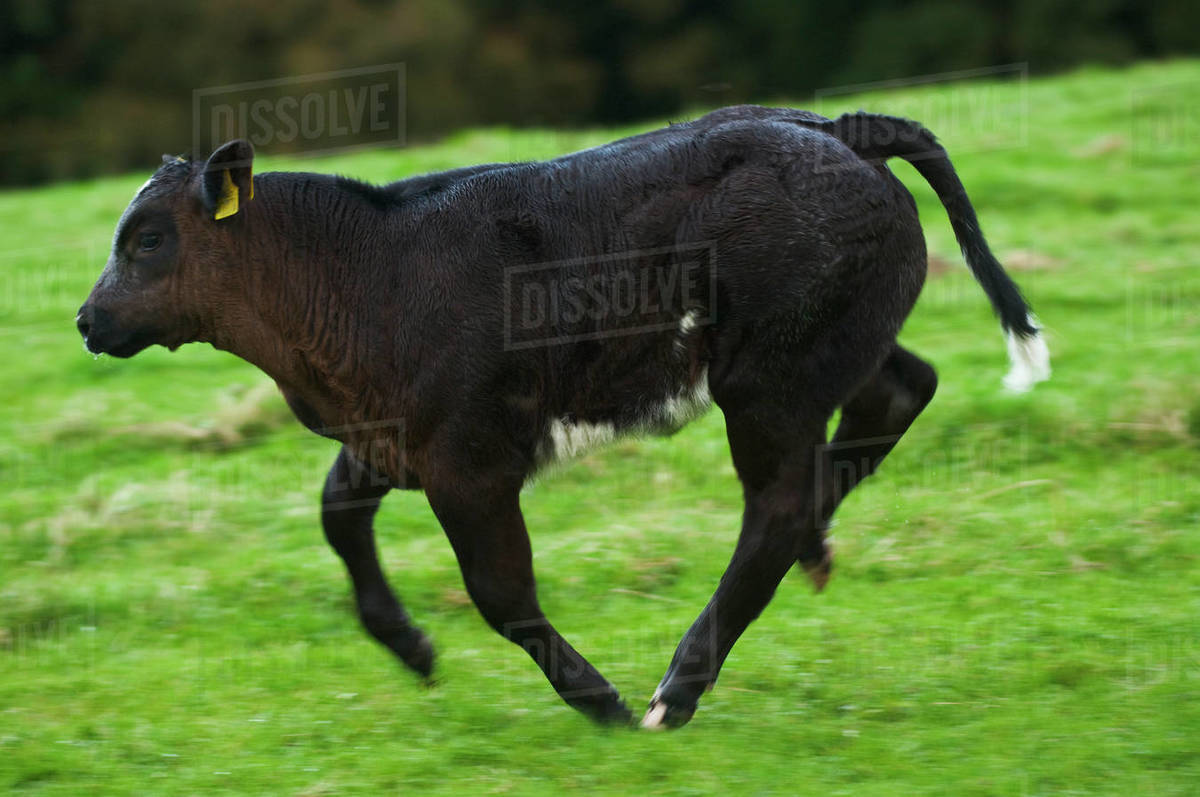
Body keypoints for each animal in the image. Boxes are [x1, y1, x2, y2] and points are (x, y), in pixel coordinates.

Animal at [76, 106, 1049, 729]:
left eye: (149, 239)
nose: (88, 319)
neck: (365, 272)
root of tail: (835, 130)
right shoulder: (389, 439)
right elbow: (338, 517)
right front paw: (413, 647)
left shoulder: (468, 462)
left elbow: (502, 593)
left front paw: (600, 702)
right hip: (830, 353)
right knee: (896, 394)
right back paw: (814, 550)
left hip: (765, 382)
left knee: (773, 510)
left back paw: (673, 691)